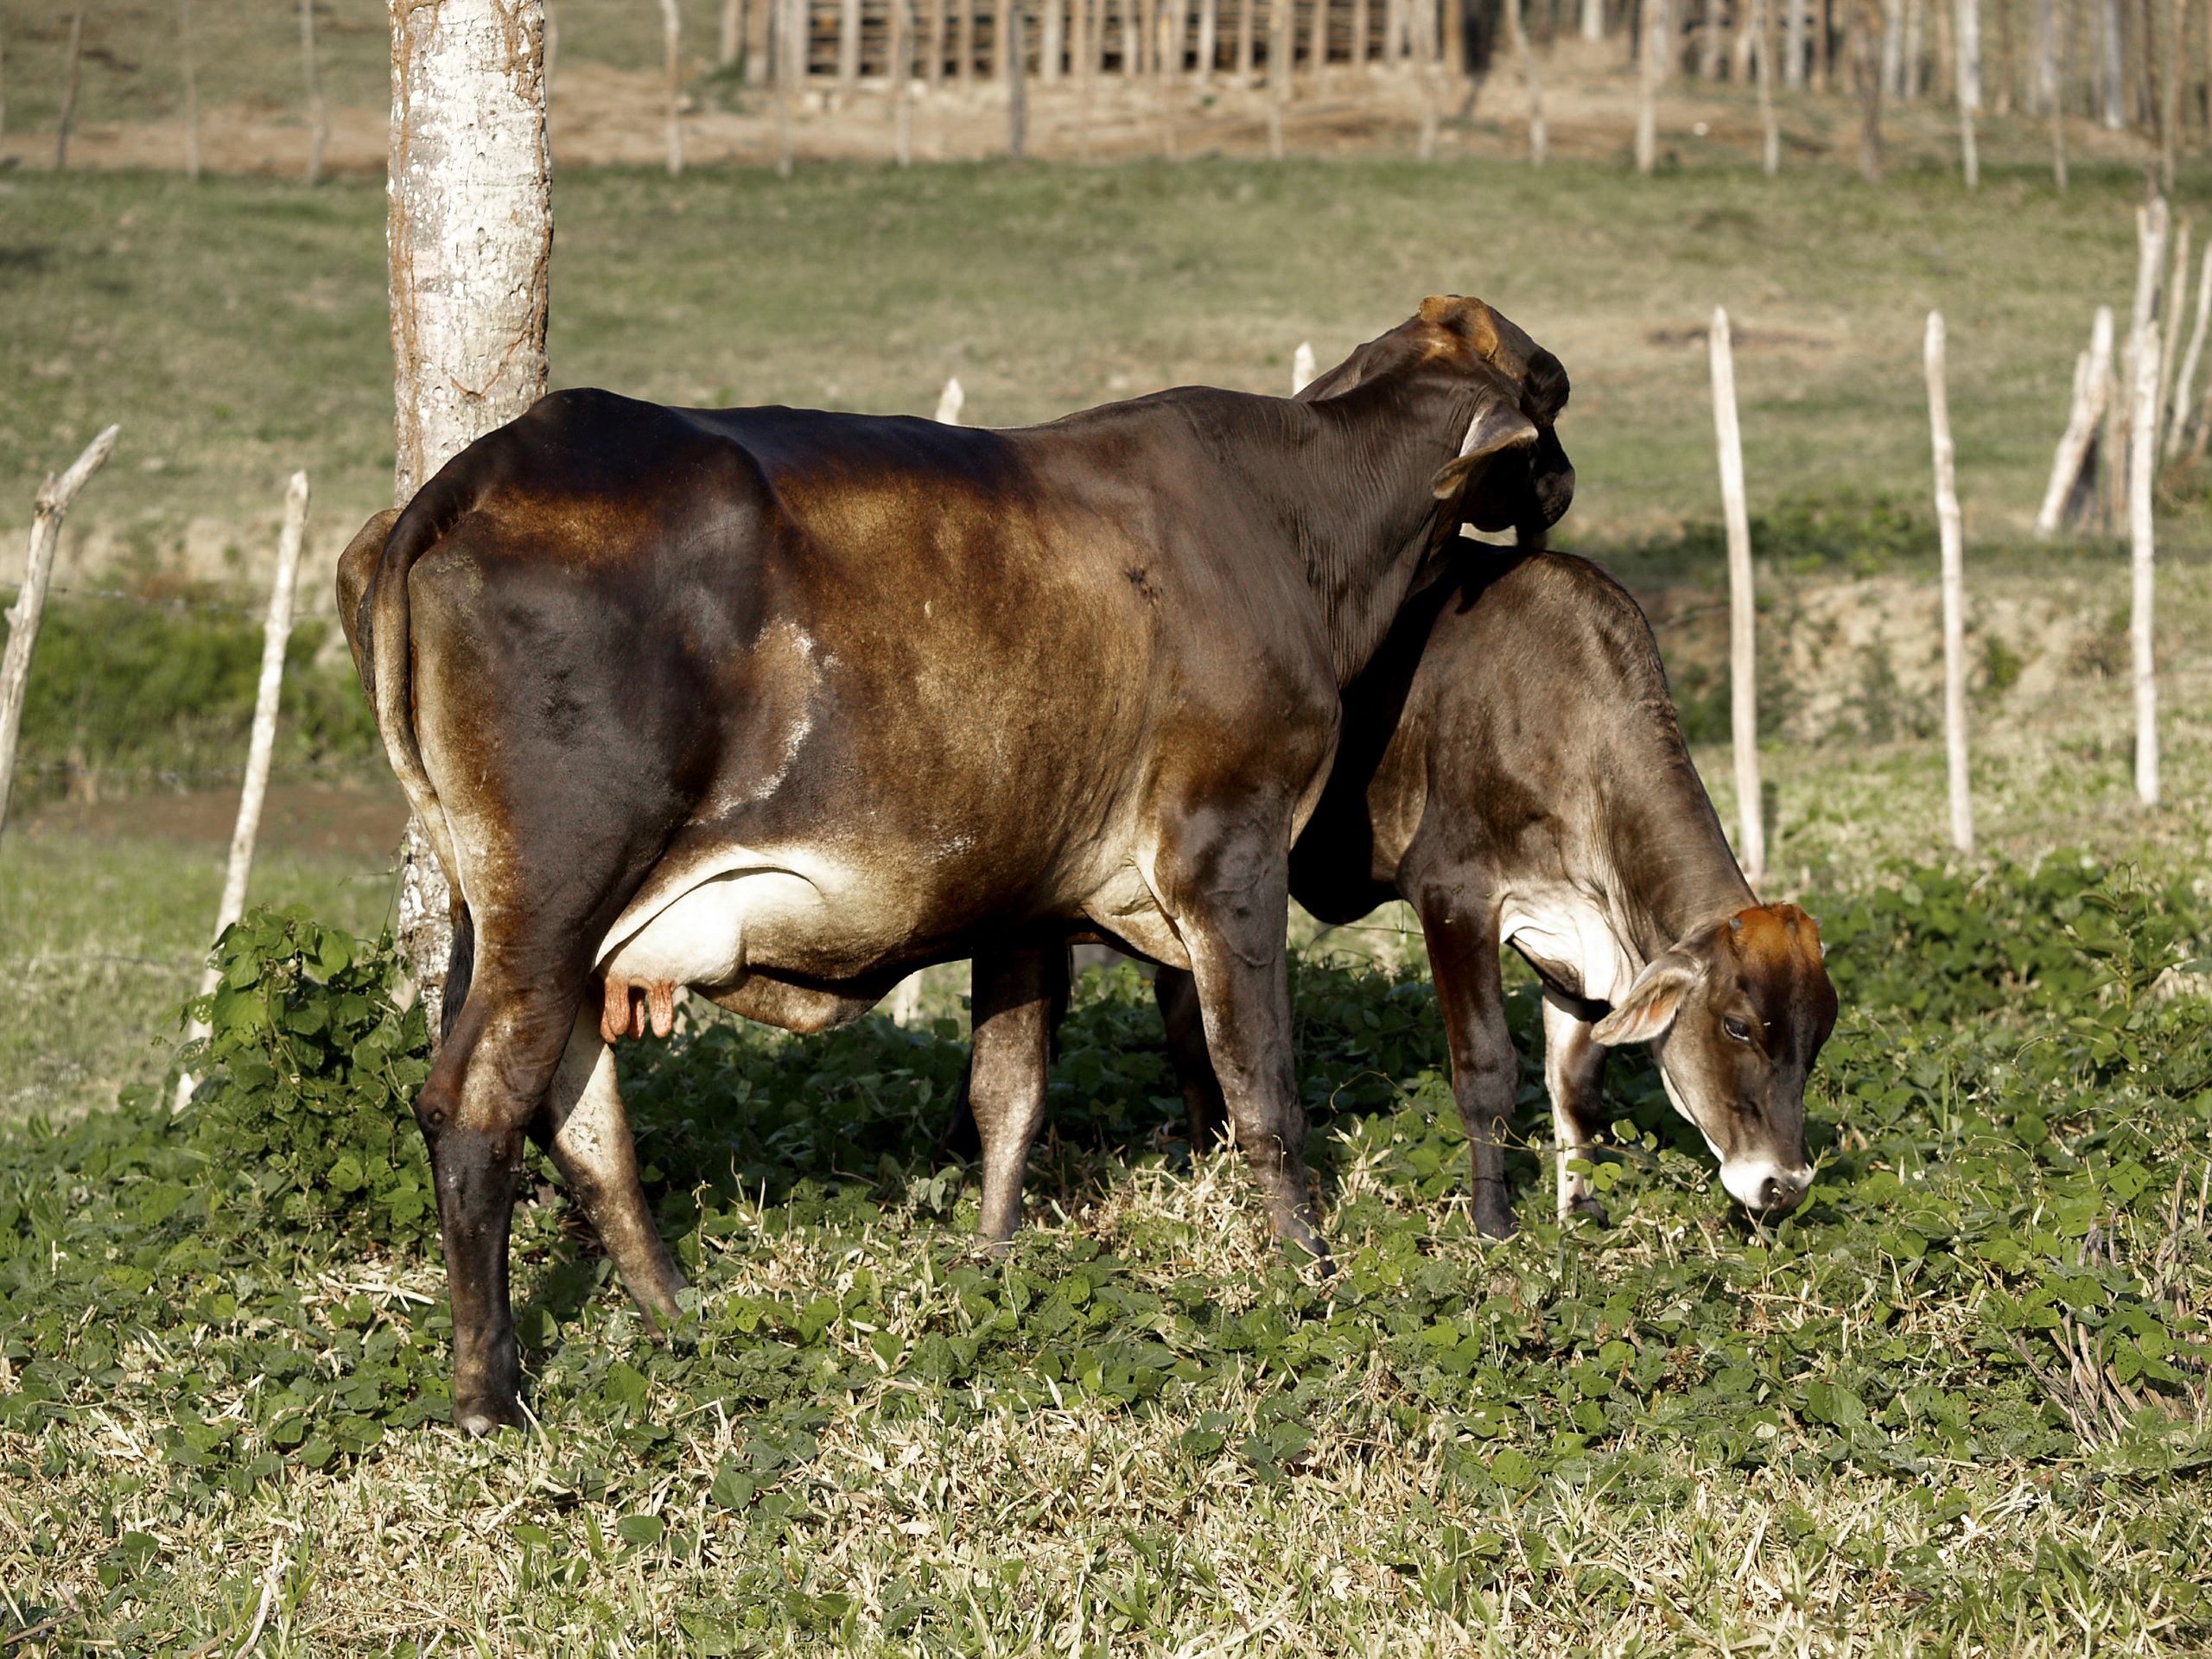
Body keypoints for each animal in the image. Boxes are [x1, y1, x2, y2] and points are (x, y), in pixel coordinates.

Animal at [336, 296, 1575, 1432]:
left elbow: (1007, 1096)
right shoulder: (1229, 849)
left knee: (580, 1115)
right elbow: (1260, 1085)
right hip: (555, 896)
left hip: (507, 917)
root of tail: (482, 474)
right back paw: (490, 1394)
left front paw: (992, 1260)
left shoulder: (1022, 900)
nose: (1562, 484)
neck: (1293, 522)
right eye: (1550, 388)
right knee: (477, 1107)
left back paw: (677, 1316)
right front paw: (1305, 1267)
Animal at [954, 548, 1839, 1244]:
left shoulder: (1578, 950)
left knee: (1187, 1015)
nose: (1784, 1187)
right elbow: (1486, 1072)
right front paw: (1496, 1224)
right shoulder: (1455, 895)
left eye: (1818, 1036)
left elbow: (1577, 1088)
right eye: (1737, 1025)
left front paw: (1579, 1213)